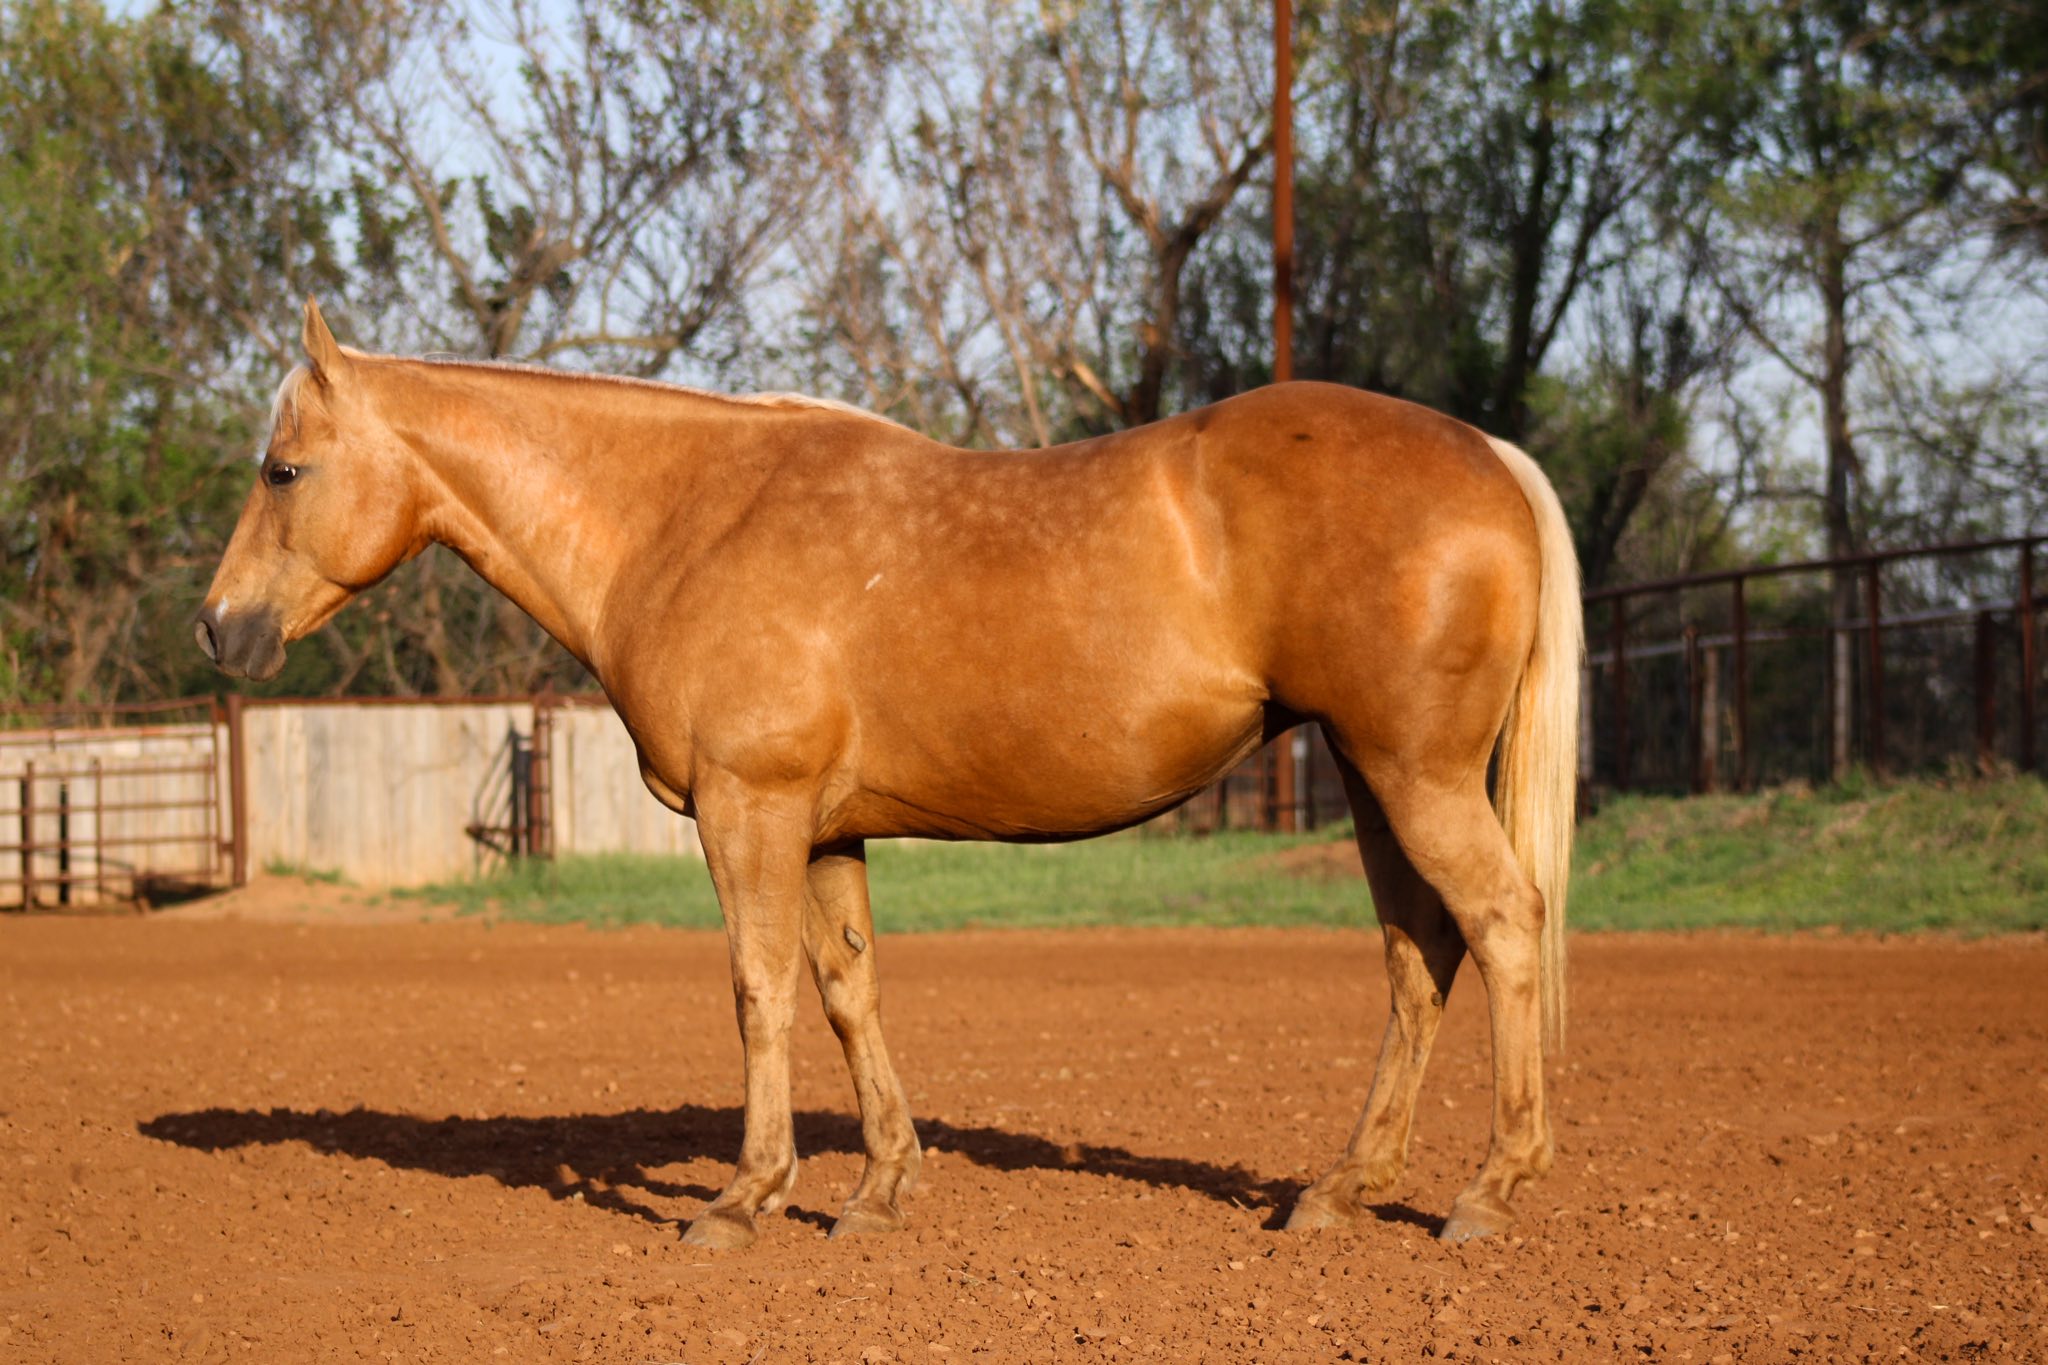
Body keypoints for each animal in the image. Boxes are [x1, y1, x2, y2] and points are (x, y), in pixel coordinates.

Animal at [197, 300, 1582, 1249]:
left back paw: (1489, 1190)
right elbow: (848, 991)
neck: (686, 519)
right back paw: (1341, 1190)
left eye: (282, 469)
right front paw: (877, 1188)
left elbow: (758, 990)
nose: (218, 630)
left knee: (1502, 925)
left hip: (1413, 775)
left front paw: (744, 1199)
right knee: (1418, 955)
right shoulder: (822, 833)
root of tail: (1490, 457)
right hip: (1370, 774)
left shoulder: (747, 813)